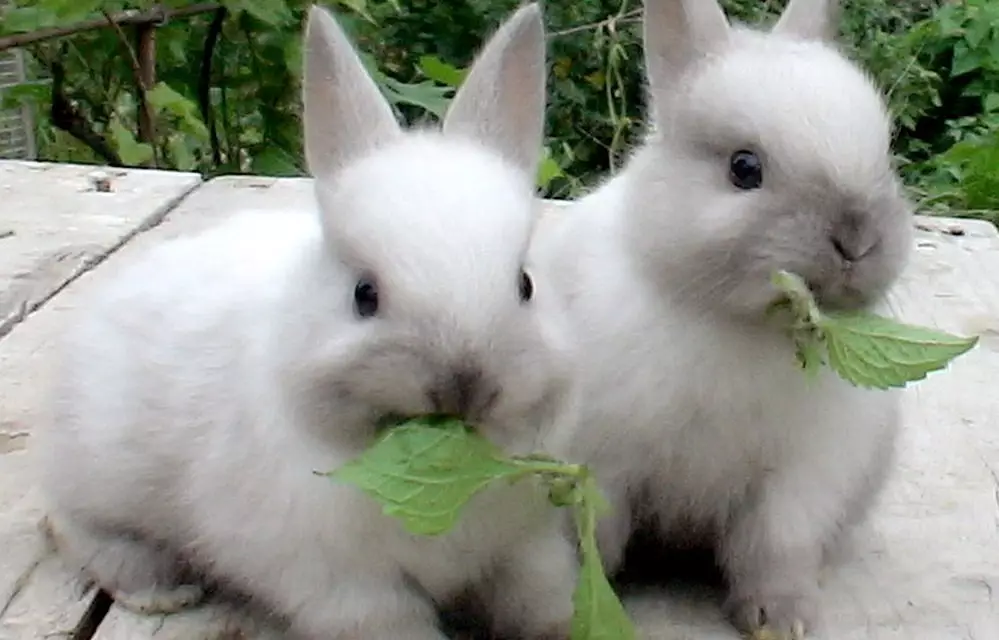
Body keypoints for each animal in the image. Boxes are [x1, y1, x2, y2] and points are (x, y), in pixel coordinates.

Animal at [536, 0, 916, 636]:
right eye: (744, 168)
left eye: (886, 157)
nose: (857, 240)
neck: (738, 325)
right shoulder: (604, 464)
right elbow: (598, 542)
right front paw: (585, 610)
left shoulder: (800, 481)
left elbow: (774, 548)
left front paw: (779, 620)